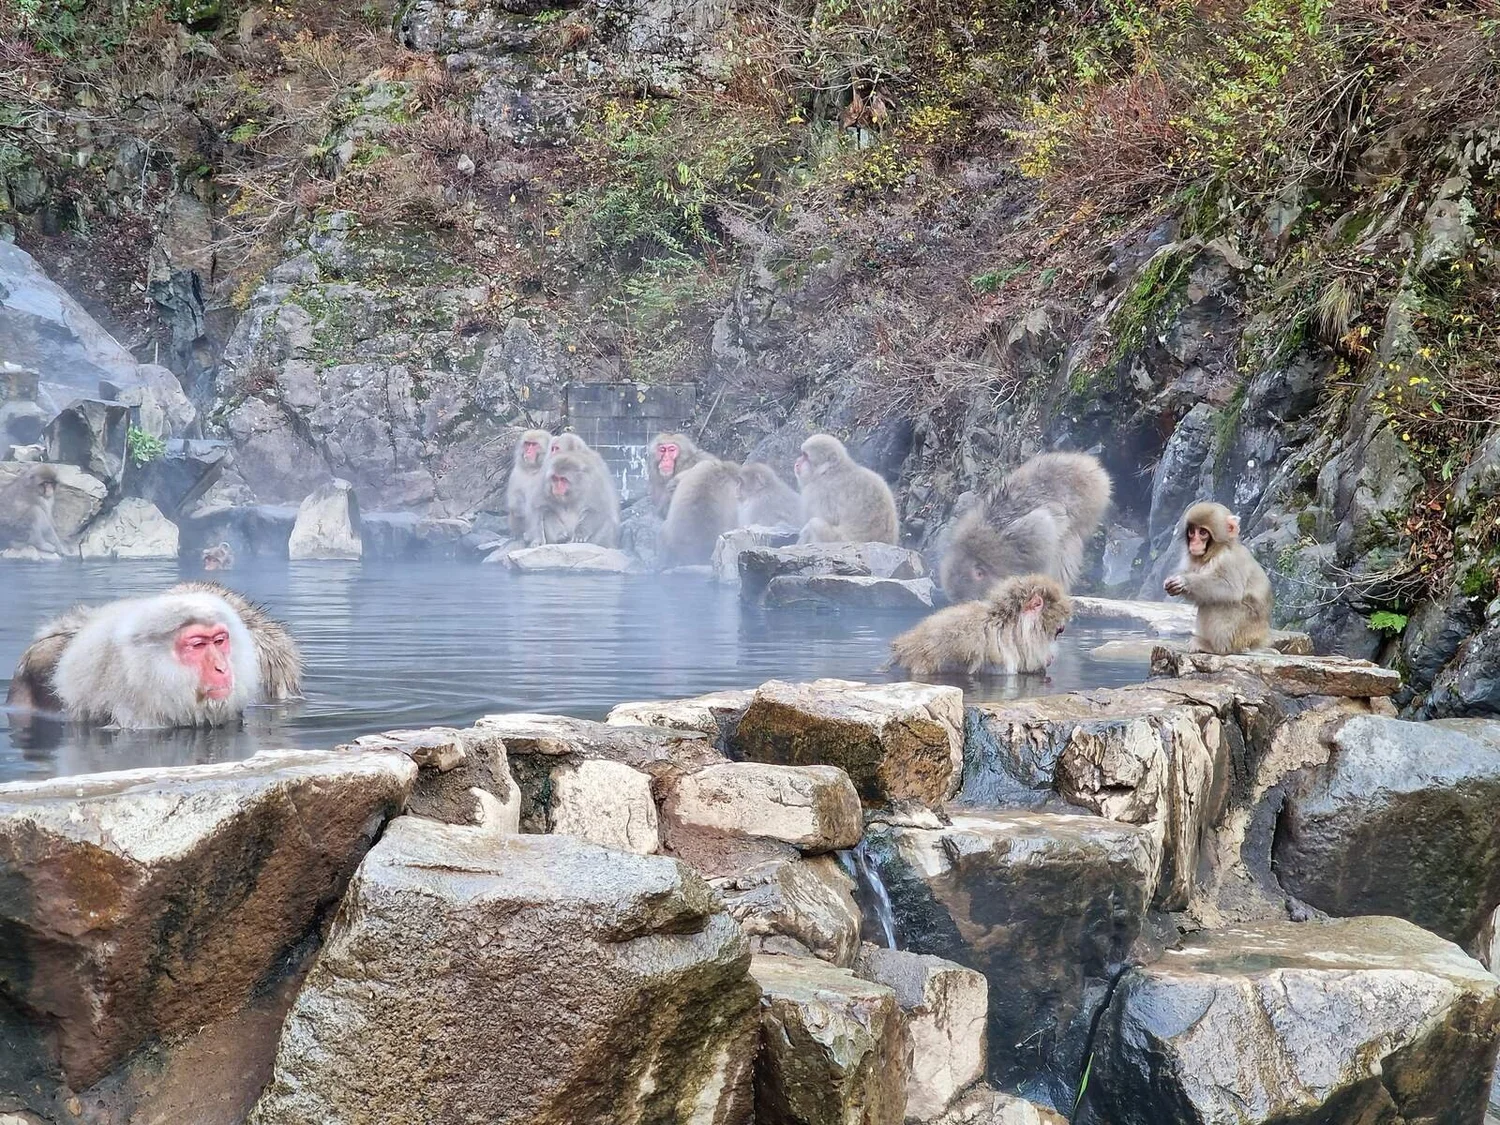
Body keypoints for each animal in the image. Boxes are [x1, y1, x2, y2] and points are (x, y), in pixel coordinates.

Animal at [1163, 501, 1273, 654]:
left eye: (1203, 532)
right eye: (1192, 531)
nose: (1194, 543)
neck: (1216, 551)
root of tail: (1260, 640)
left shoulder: (1229, 561)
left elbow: (1229, 588)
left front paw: (1184, 582)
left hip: (1242, 634)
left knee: (1218, 603)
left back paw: (1214, 647)